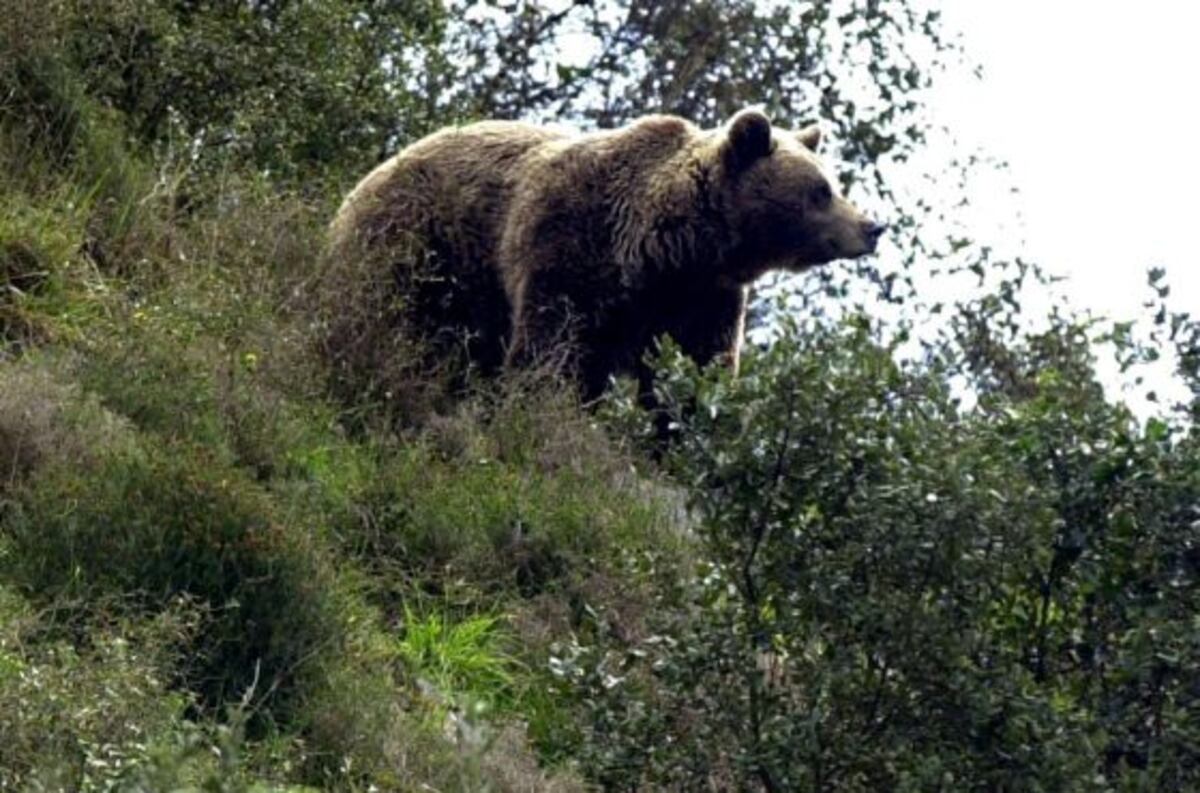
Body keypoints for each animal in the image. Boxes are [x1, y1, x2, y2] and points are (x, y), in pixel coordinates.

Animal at [323, 109, 883, 411]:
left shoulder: (703, 297)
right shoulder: (570, 243)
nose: (872, 227)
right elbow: (552, 344)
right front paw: (542, 406)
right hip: (418, 243)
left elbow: (699, 369)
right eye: (821, 190)